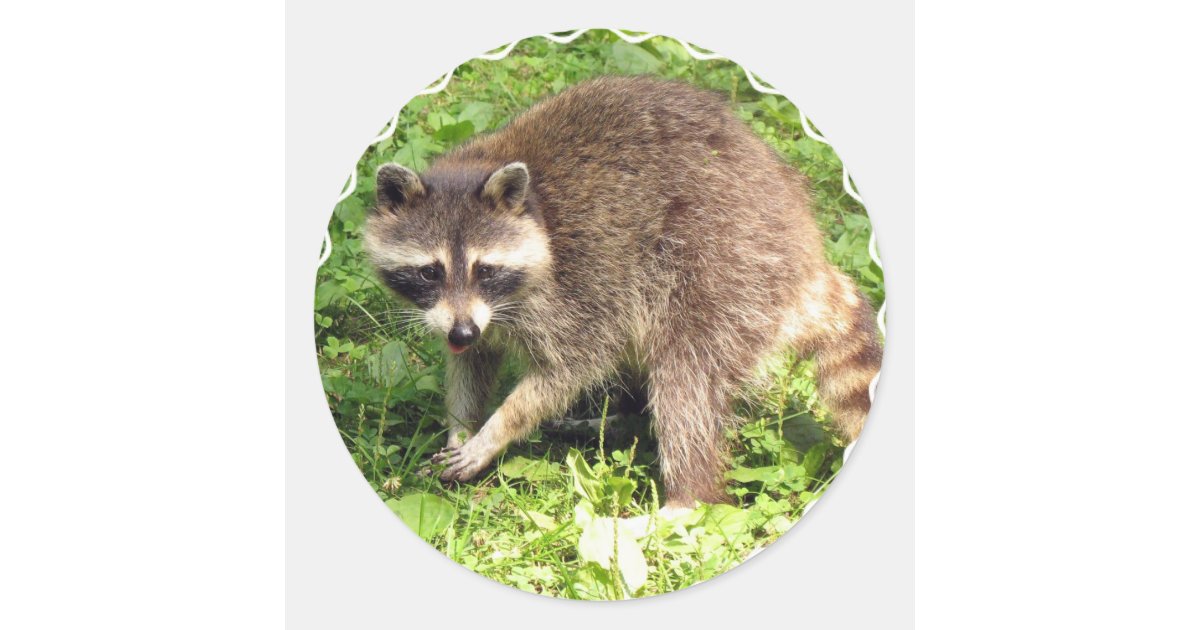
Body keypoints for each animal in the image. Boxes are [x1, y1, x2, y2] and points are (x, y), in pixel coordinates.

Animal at [364, 76, 882, 510]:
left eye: (485, 269)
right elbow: (472, 364)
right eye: (429, 272)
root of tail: (804, 250)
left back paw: (685, 498)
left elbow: (569, 368)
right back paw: (621, 416)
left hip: (726, 266)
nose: (463, 332)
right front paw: (462, 425)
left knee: (685, 377)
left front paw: (498, 430)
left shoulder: (577, 286)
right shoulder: (479, 316)